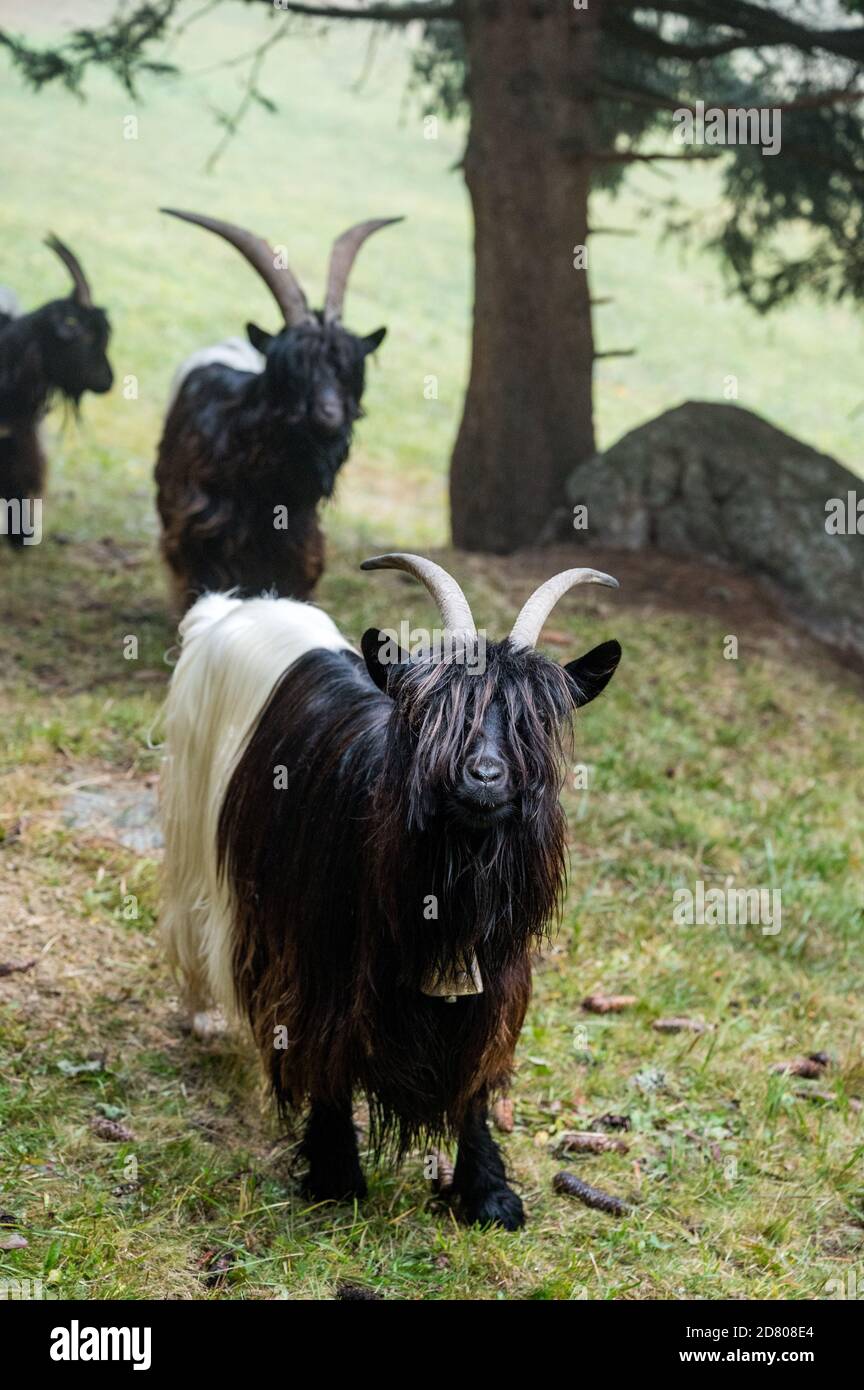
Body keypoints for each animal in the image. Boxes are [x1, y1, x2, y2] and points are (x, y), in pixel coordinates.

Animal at [160, 554, 621, 1228]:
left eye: (531, 720)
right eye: (434, 714)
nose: (483, 777)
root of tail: (232, 606)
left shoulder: (493, 980)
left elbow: (474, 1076)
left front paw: (488, 1191)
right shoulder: (317, 962)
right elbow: (324, 1054)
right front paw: (335, 1175)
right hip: (193, 814)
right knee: (190, 916)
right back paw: (201, 1019)